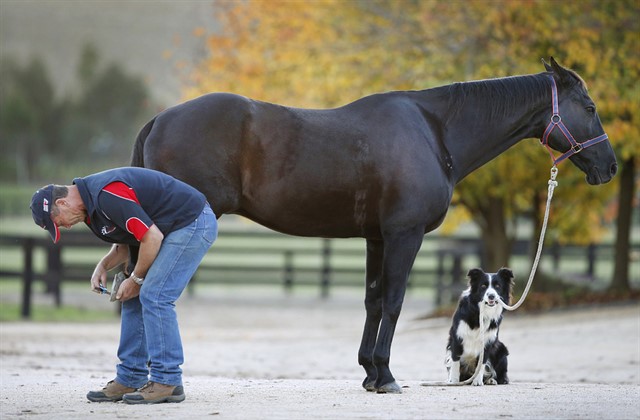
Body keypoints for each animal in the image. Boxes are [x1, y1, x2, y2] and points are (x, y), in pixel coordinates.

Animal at [129, 58, 617, 393]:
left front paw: (368, 372)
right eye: (590, 106)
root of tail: (160, 119)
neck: (434, 131)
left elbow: (374, 301)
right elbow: (395, 303)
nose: (609, 167)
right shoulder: (405, 235)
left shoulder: (376, 238)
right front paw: (385, 375)